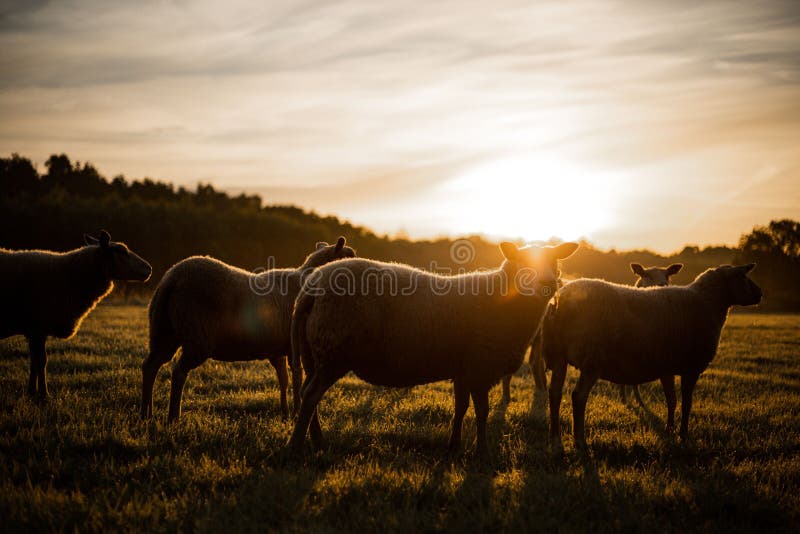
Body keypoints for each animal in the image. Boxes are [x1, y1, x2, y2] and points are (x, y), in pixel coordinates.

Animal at [0, 230, 152, 400]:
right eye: (121, 251)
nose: (149, 268)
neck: (69, 276)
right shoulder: (37, 328)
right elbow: (41, 361)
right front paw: (44, 395)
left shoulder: (35, 331)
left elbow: (34, 362)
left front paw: (32, 393)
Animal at [142, 237, 355, 422]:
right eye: (349, 258)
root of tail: (174, 276)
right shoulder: (295, 347)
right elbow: (296, 378)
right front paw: (296, 413)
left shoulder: (277, 350)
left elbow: (284, 380)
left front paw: (285, 414)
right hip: (197, 339)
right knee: (178, 372)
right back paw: (173, 417)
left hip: (163, 332)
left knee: (150, 366)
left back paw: (146, 414)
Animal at [286, 241, 579, 458]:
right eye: (524, 263)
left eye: (555, 261)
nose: (548, 283)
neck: (506, 301)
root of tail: (312, 289)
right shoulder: (479, 366)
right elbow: (482, 411)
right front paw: (482, 452)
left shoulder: (463, 370)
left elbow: (460, 408)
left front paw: (453, 446)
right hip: (332, 352)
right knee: (311, 395)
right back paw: (295, 447)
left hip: (314, 353)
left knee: (306, 394)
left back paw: (317, 440)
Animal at [543, 264, 762, 449]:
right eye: (743, 276)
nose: (760, 293)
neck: (707, 302)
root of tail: (559, 300)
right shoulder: (691, 367)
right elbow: (687, 403)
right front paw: (683, 435)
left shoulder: (667, 367)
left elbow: (671, 400)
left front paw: (670, 430)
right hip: (592, 359)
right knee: (578, 396)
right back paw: (579, 440)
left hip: (559, 356)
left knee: (555, 393)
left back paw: (555, 437)